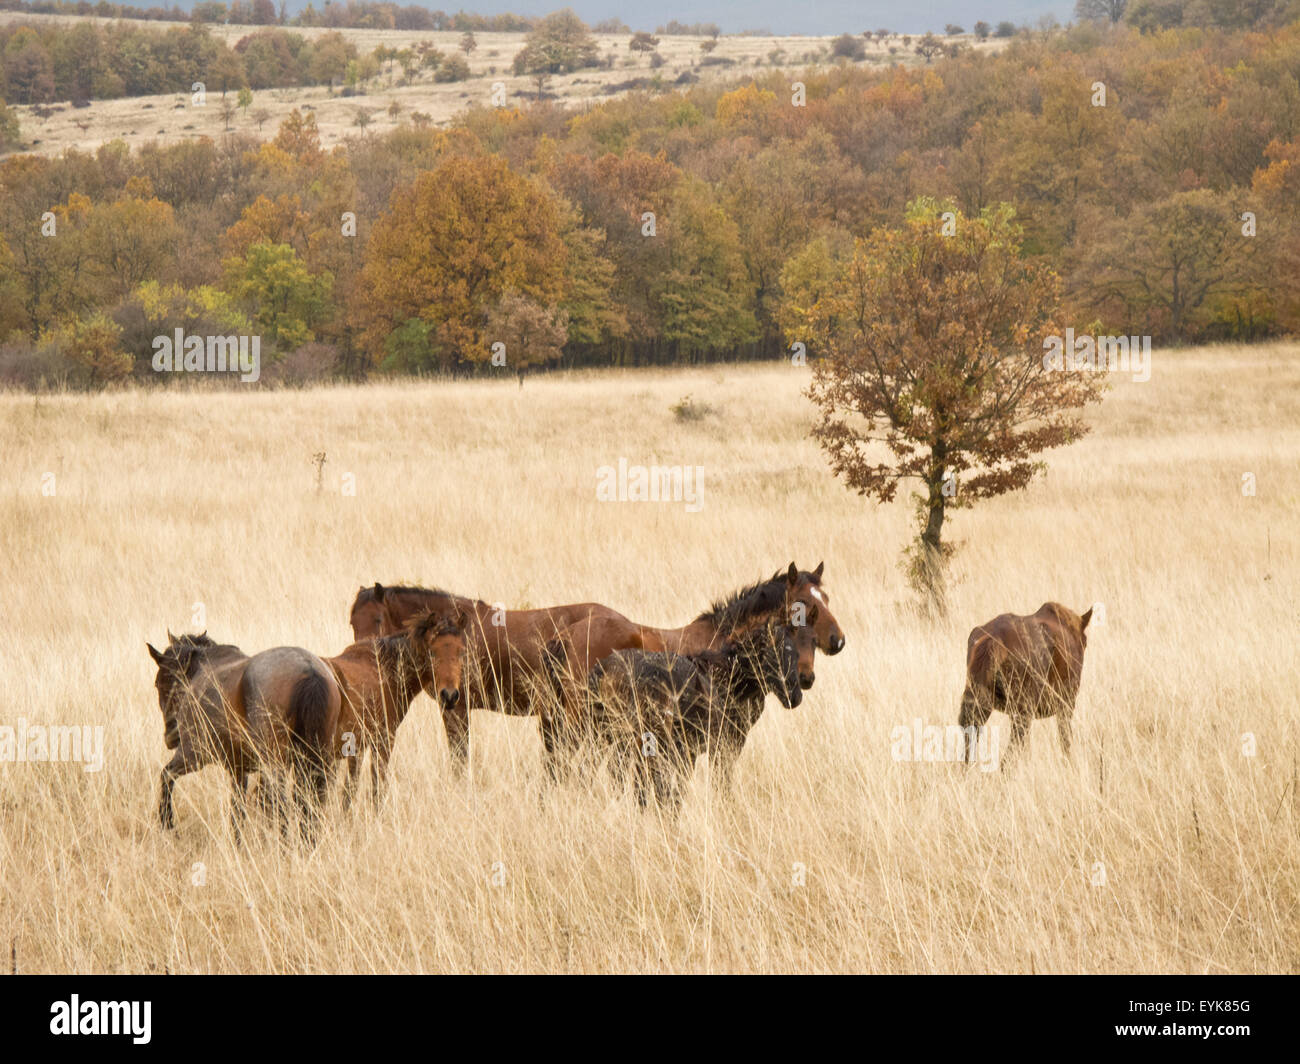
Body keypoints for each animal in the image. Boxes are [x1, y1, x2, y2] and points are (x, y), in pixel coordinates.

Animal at [147, 632, 341, 842]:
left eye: (158, 683)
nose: (171, 737)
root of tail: (309, 670)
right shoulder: (238, 769)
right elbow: (238, 811)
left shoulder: (193, 755)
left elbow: (166, 776)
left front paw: (167, 823)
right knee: (308, 806)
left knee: (281, 805)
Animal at [324, 606, 467, 806]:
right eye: (432, 652)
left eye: (461, 652)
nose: (450, 695)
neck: (385, 669)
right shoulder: (383, 742)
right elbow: (376, 791)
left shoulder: (357, 748)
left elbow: (349, 793)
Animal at [584, 618, 806, 808]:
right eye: (772, 655)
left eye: (795, 655)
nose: (794, 696)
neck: (725, 682)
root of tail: (605, 670)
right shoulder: (717, 748)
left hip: (606, 737)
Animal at [957, 602, 1092, 767]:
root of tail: (994, 639)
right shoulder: (1066, 706)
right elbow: (1065, 742)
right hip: (1023, 715)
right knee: (1007, 760)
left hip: (979, 707)